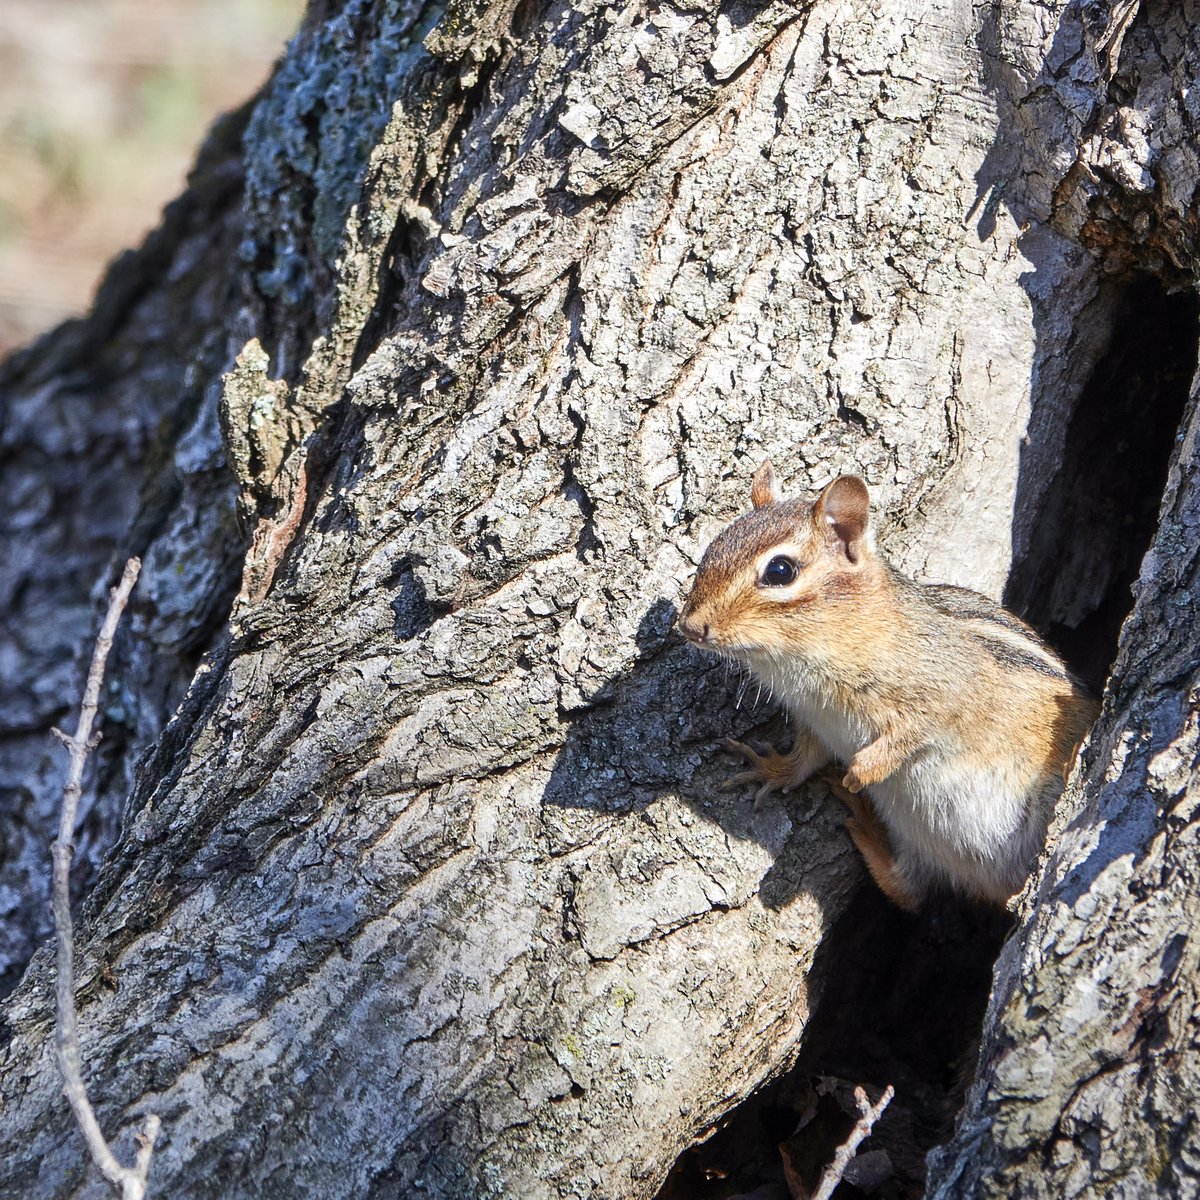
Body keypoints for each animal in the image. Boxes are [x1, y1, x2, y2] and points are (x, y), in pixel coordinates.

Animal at [676, 461, 1099, 910]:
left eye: (780, 571)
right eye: (711, 550)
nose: (689, 626)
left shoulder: (949, 689)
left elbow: (920, 729)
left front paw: (863, 770)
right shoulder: (817, 722)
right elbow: (806, 758)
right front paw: (772, 769)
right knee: (905, 889)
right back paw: (862, 821)